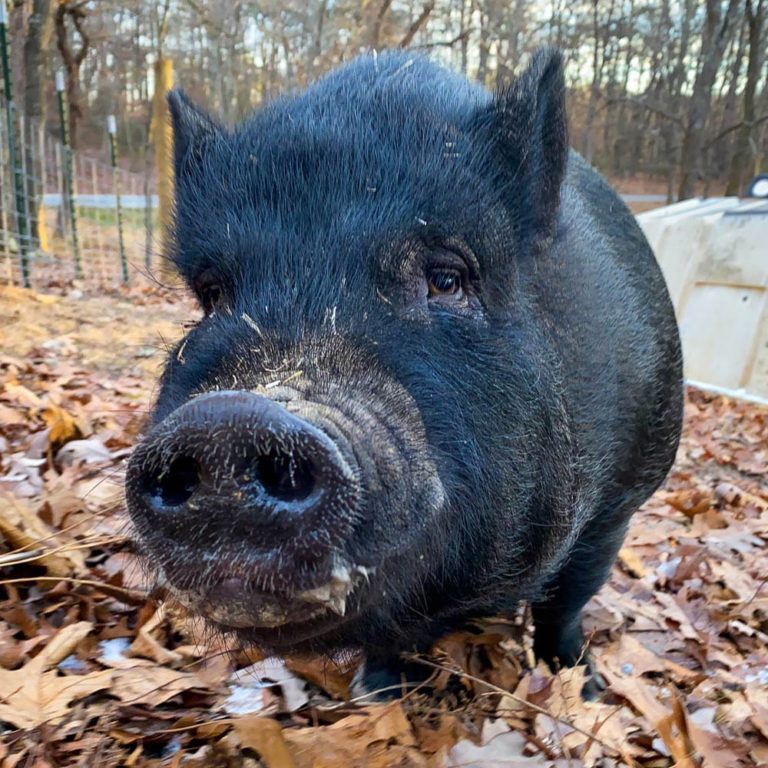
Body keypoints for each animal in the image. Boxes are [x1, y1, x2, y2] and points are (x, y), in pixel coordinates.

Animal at [125, 48, 683, 695]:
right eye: (213, 295)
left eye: (447, 278)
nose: (228, 423)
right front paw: (376, 695)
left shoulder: (621, 501)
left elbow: (567, 600)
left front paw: (581, 684)